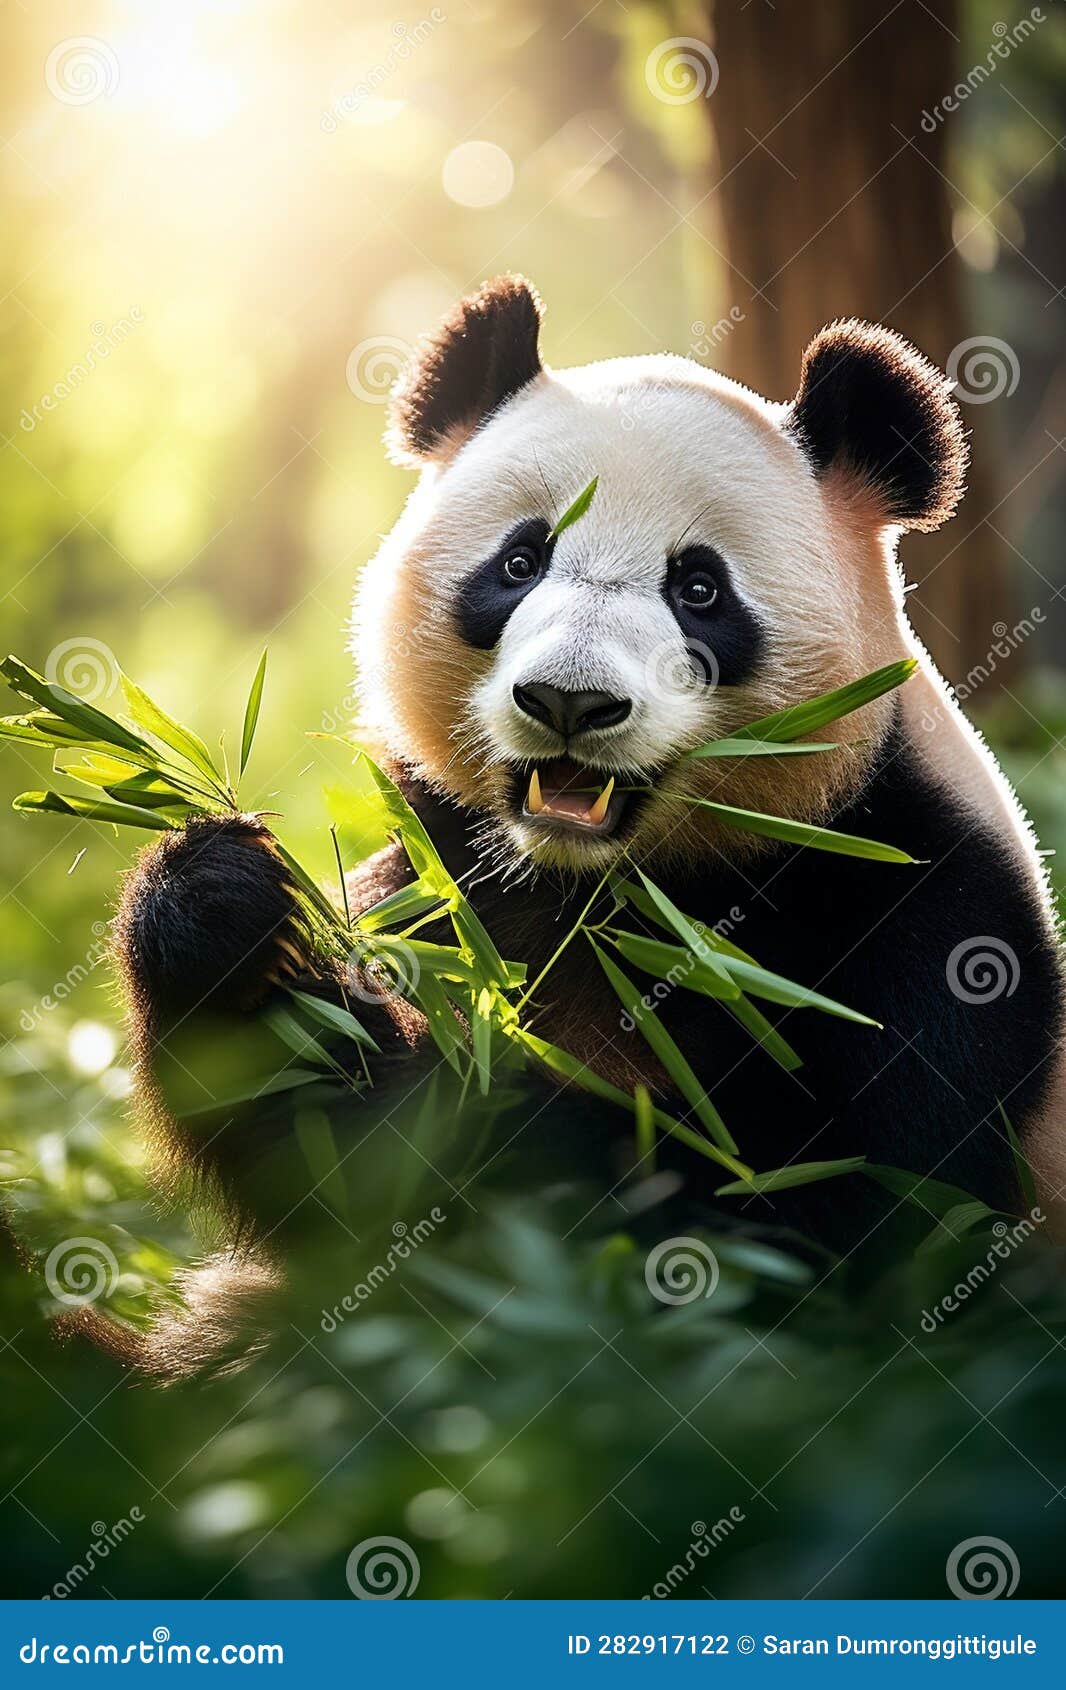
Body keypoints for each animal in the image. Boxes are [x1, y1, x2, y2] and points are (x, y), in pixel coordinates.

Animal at [109, 275, 1064, 1371]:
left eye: (698, 587)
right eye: (521, 561)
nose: (569, 700)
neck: (607, 882)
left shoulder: (926, 918)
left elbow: (816, 1223)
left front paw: (469, 1105)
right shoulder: (441, 877)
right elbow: (293, 1139)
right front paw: (229, 913)